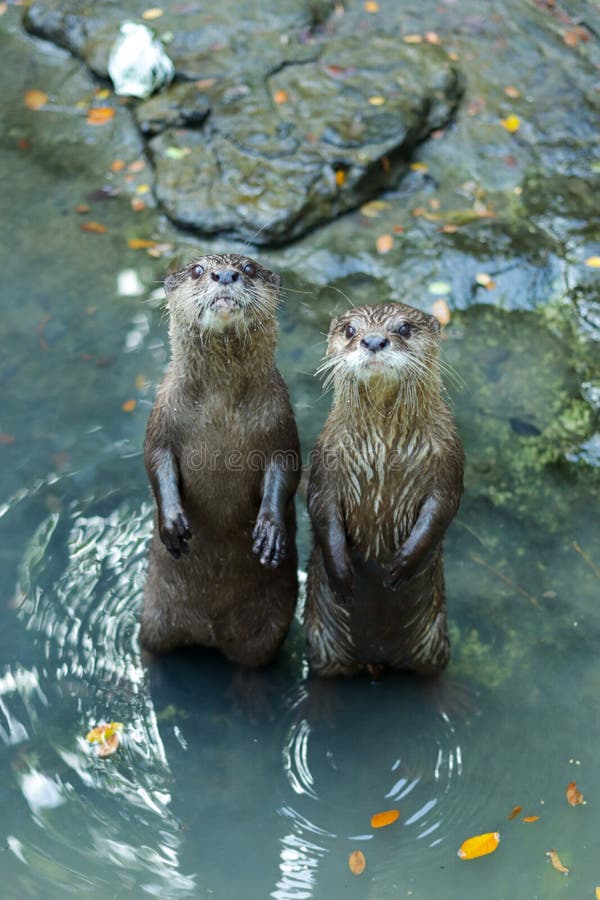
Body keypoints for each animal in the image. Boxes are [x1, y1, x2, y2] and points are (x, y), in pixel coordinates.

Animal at [141, 253, 301, 667]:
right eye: (198, 270)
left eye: (248, 268)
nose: (225, 275)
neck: (219, 408)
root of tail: (209, 631)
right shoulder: (163, 413)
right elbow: (156, 462)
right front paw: (173, 524)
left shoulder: (280, 419)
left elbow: (286, 469)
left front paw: (270, 529)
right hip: (154, 616)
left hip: (266, 631)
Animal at [304, 302, 464, 677]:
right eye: (350, 331)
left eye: (404, 328)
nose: (374, 340)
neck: (384, 450)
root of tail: (376, 659)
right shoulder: (326, 458)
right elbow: (321, 509)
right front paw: (342, 574)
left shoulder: (448, 456)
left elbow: (443, 509)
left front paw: (403, 563)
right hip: (323, 646)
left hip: (433, 645)